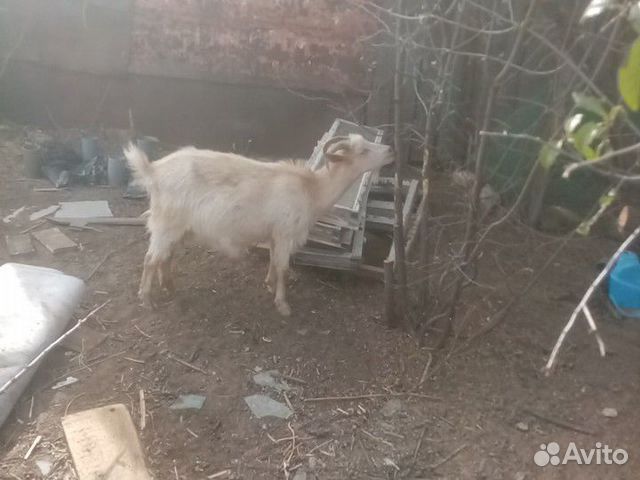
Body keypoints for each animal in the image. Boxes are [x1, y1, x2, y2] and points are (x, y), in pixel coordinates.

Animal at [124, 134, 393, 316]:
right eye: (363, 151)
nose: (390, 149)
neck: (312, 189)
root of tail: (153, 170)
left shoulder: (275, 234)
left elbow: (274, 261)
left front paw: (269, 284)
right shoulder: (285, 233)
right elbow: (283, 267)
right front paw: (283, 304)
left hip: (176, 228)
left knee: (165, 257)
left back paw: (169, 288)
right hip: (166, 224)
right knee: (151, 259)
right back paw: (147, 299)